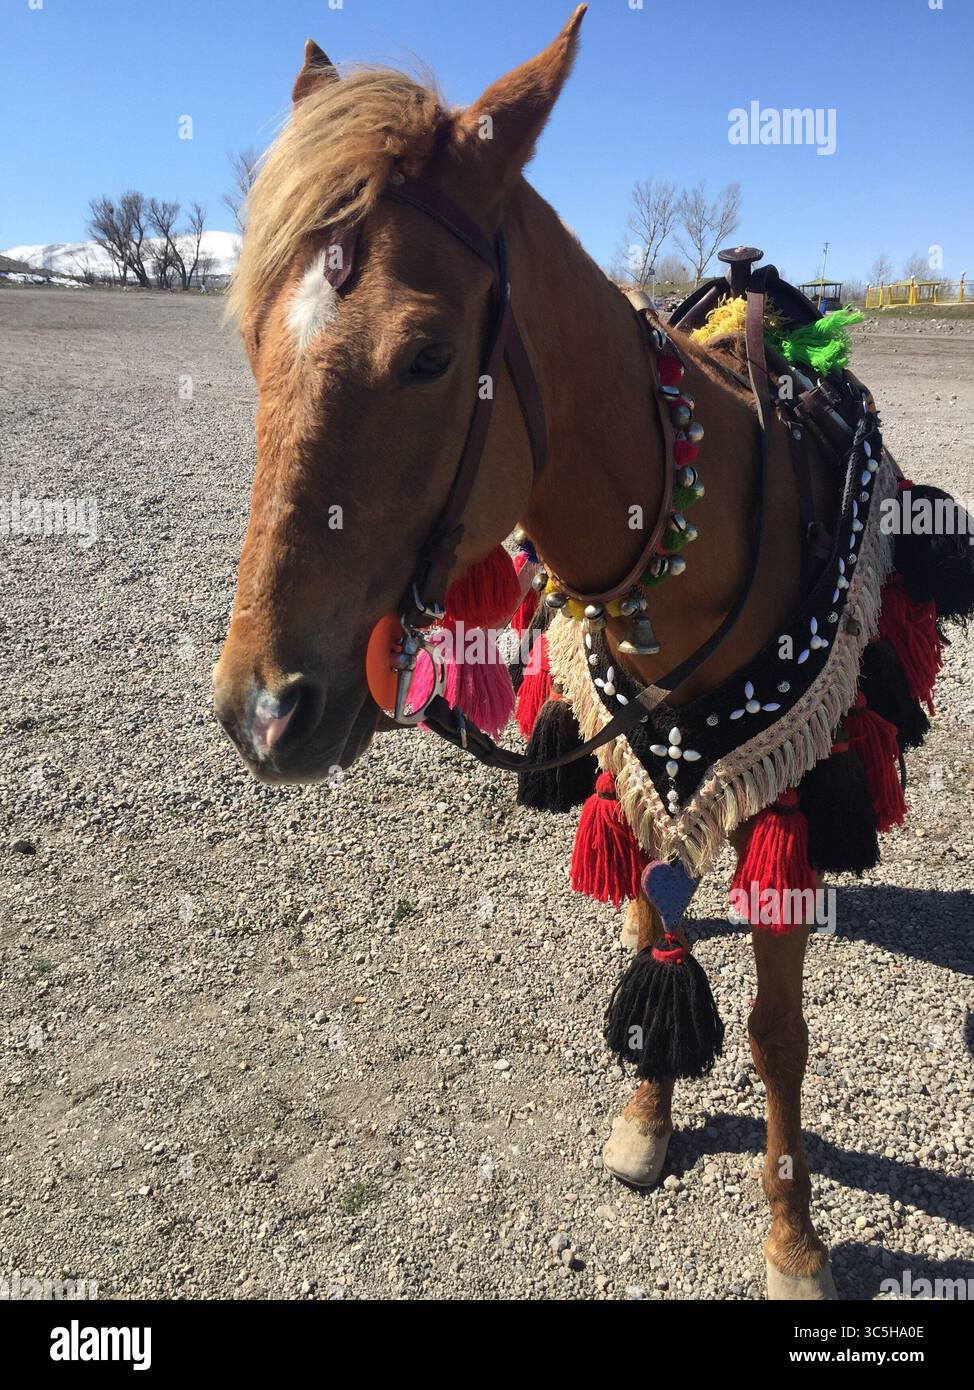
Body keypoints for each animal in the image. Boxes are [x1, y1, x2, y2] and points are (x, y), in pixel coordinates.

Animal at [213, 7, 971, 1300]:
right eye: (252, 336)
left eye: (427, 355)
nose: (261, 708)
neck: (683, 522)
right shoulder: (644, 757)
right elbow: (658, 925)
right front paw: (646, 1112)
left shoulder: (777, 778)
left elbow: (775, 1034)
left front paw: (793, 1236)